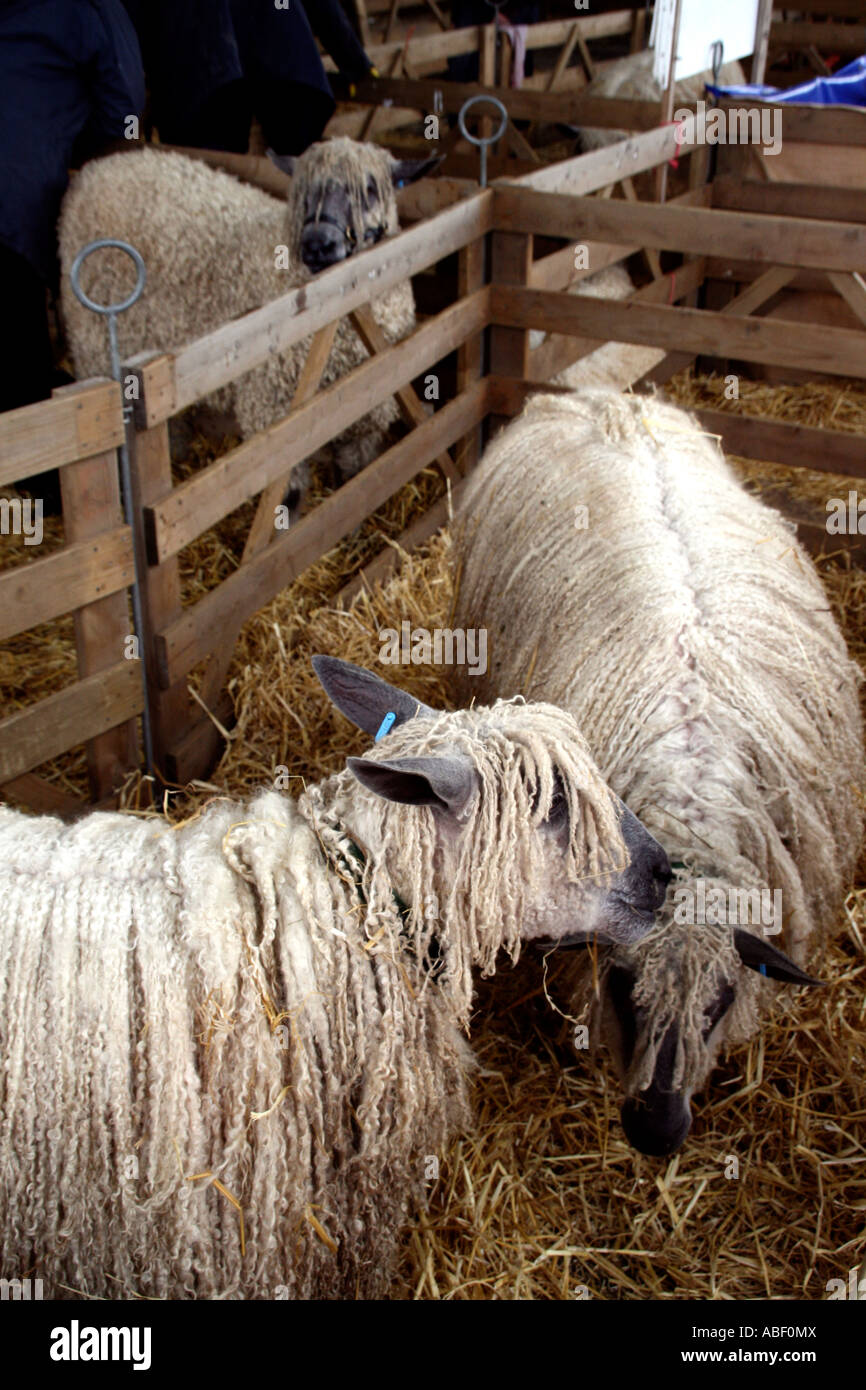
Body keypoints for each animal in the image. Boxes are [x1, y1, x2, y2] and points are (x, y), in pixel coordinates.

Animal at [58, 139, 435, 512]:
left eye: (369, 190)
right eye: (302, 193)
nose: (317, 244)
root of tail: (101, 165)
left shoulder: (369, 406)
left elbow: (358, 479)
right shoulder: (273, 413)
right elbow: (287, 500)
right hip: (94, 338)